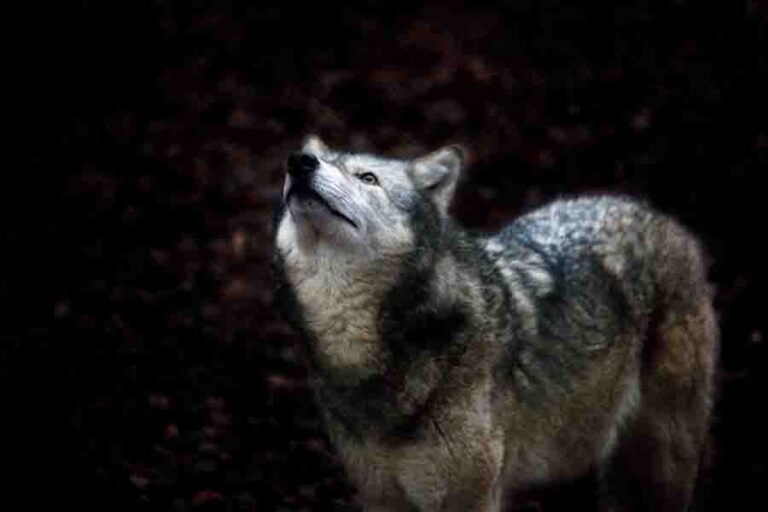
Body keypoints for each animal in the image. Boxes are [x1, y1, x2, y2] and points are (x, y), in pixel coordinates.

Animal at [272, 136, 718, 512]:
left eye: (367, 177)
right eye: (315, 162)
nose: (299, 162)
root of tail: (659, 217)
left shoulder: (470, 498)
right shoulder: (380, 498)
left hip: (662, 461)